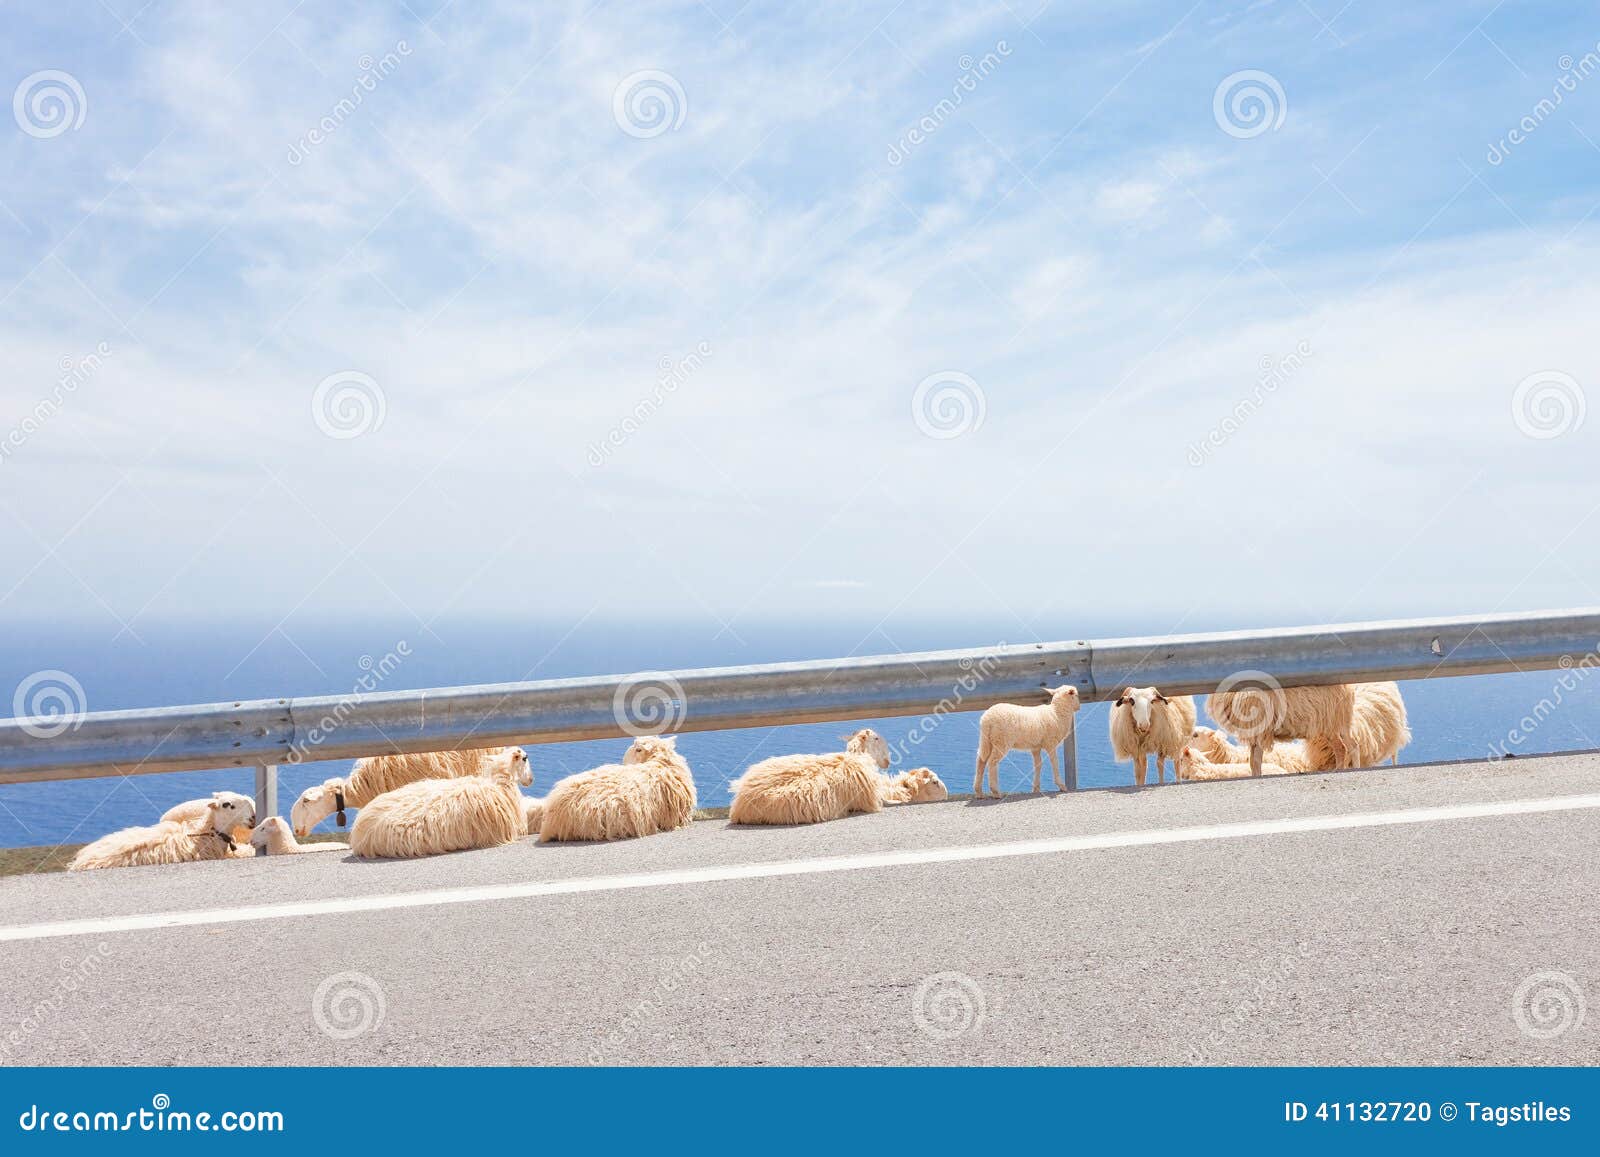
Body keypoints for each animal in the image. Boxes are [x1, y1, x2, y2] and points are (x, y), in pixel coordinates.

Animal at [1207, 681, 1356, 776]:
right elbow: (1252, 761)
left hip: (1330, 723)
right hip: (1338, 724)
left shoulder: (1260, 731)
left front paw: (1257, 776)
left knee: (1344, 747)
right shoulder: (1255, 735)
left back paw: (1343, 769)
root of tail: (1347, 688)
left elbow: (1256, 761)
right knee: (1350, 745)